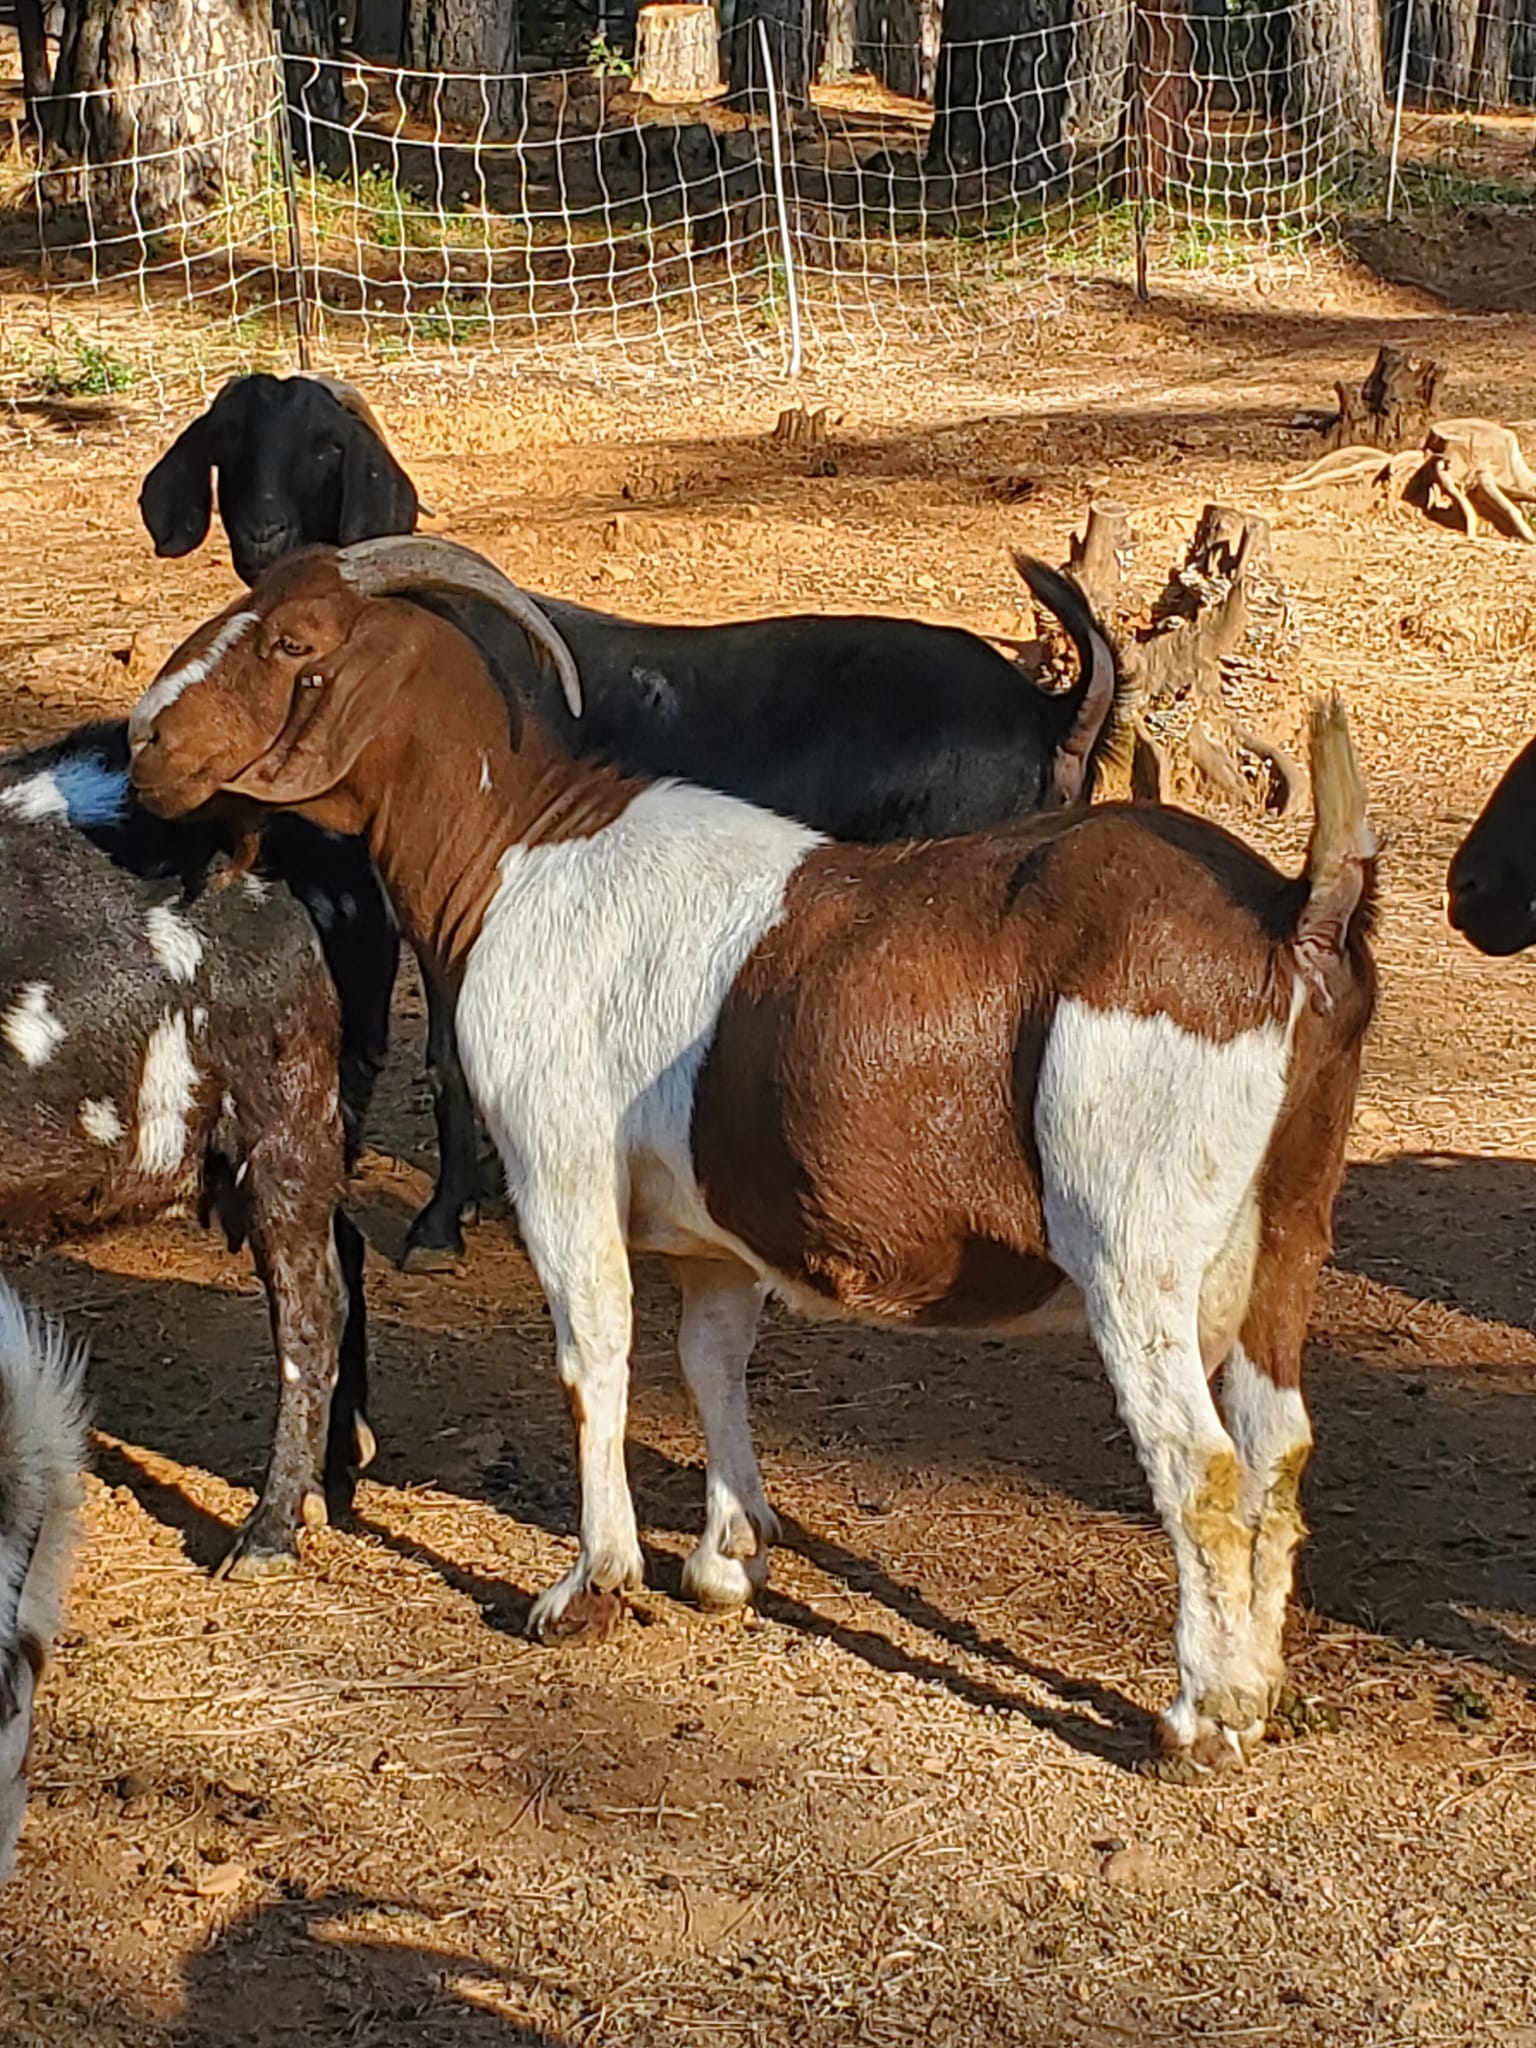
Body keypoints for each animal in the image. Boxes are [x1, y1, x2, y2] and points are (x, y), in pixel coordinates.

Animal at [128, 537, 1377, 1776]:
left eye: (292, 641)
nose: (145, 741)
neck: (522, 847)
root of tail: (1295, 917)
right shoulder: (712, 1230)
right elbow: (710, 1358)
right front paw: (728, 1557)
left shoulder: (559, 1164)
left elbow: (597, 1358)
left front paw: (592, 1586)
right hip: (1285, 1230)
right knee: (1278, 1443)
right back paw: (1264, 1690)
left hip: (1137, 1245)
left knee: (1202, 1467)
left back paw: (1203, 1717)